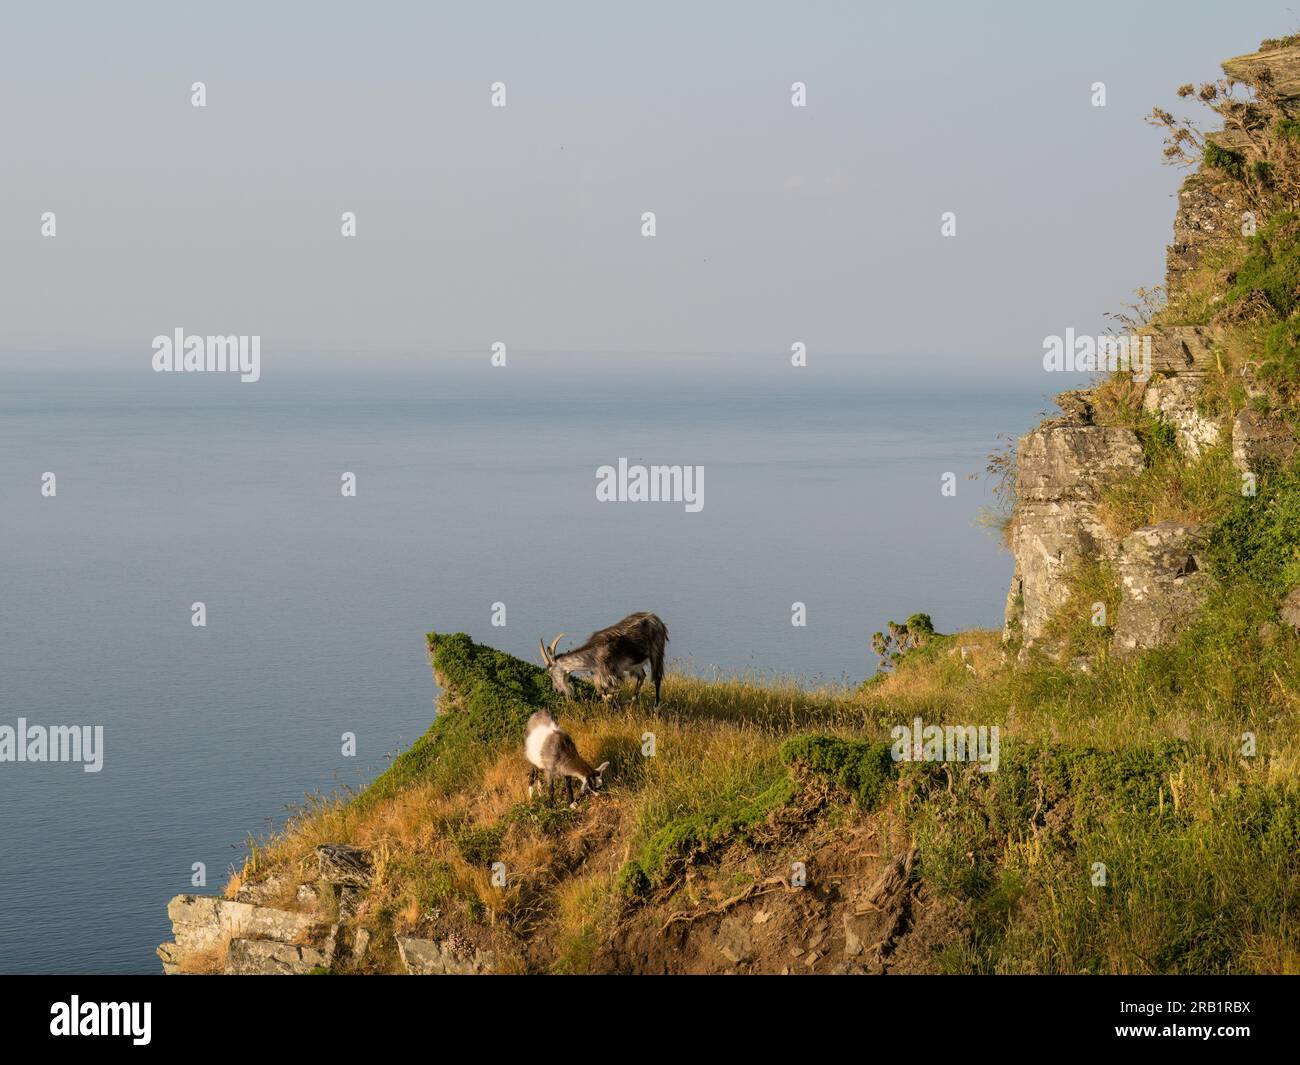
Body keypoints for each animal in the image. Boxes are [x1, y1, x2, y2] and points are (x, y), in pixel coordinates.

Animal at [540, 612, 668, 707]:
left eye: (550, 673)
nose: (557, 690)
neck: (593, 655)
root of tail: (657, 619)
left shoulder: (612, 674)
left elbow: (611, 693)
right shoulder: (598, 675)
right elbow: (602, 693)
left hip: (657, 651)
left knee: (657, 678)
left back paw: (656, 706)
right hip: (635, 664)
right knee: (642, 676)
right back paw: (632, 700)